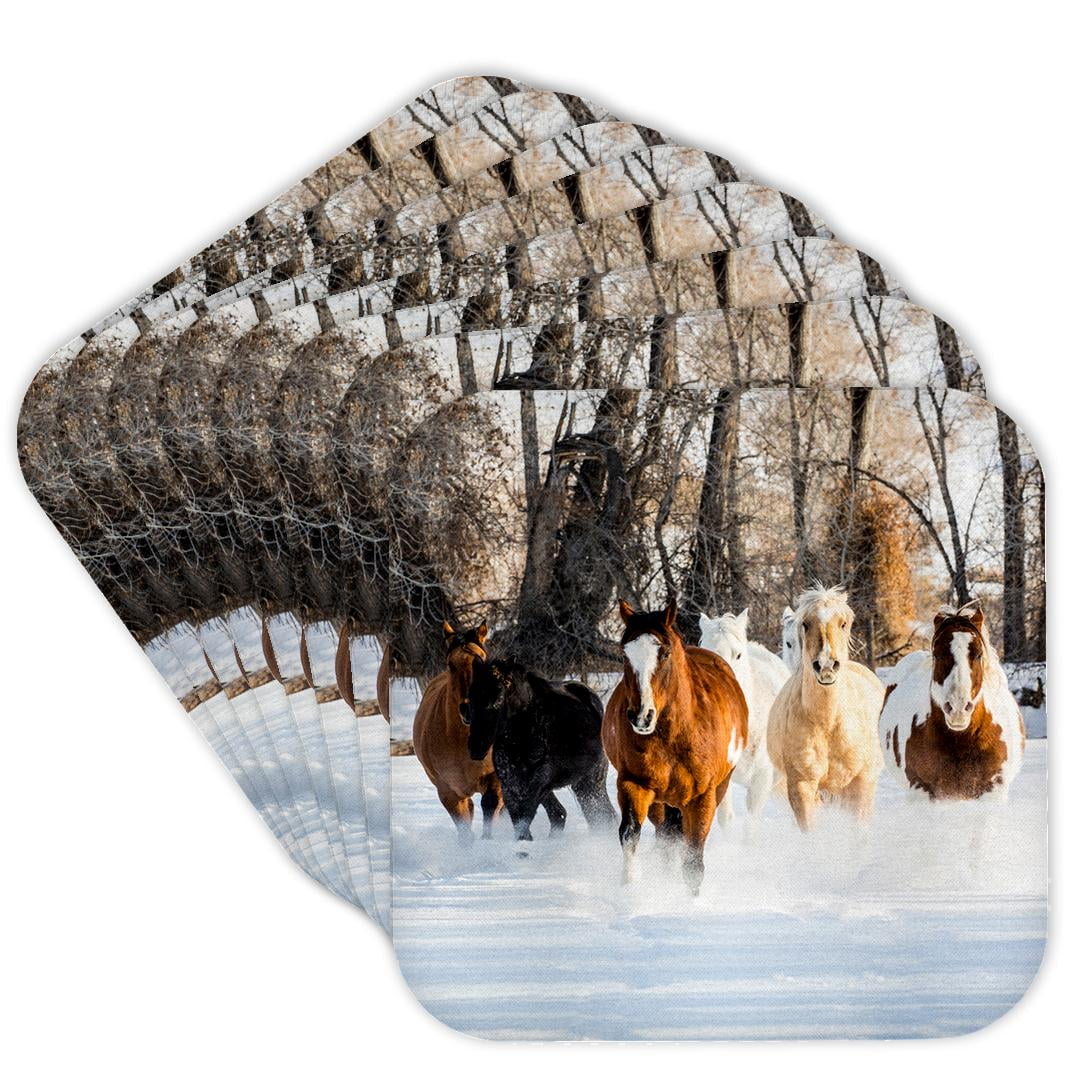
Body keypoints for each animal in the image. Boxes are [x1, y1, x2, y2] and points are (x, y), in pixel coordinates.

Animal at [412, 621, 503, 842]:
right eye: (450, 665)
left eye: (482, 659)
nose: (470, 708)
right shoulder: (449, 792)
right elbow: (465, 832)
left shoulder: (495, 779)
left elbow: (490, 808)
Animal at [464, 658, 616, 845]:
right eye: (471, 697)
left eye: (498, 699)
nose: (476, 747)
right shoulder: (510, 785)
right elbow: (518, 820)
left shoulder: (536, 783)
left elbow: (524, 820)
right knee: (563, 814)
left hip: (591, 782)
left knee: (604, 816)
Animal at [603, 598, 749, 894]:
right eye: (625, 654)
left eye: (665, 653)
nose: (640, 716)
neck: (673, 737)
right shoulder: (634, 784)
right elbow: (630, 834)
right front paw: (630, 890)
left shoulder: (702, 797)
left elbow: (693, 859)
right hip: (660, 802)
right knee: (667, 836)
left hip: (717, 788)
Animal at [767, 586, 885, 830]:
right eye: (806, 624)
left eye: (843, 623)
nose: (826, 666)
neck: (829, 723)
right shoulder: (802, 785)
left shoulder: (861, 784)